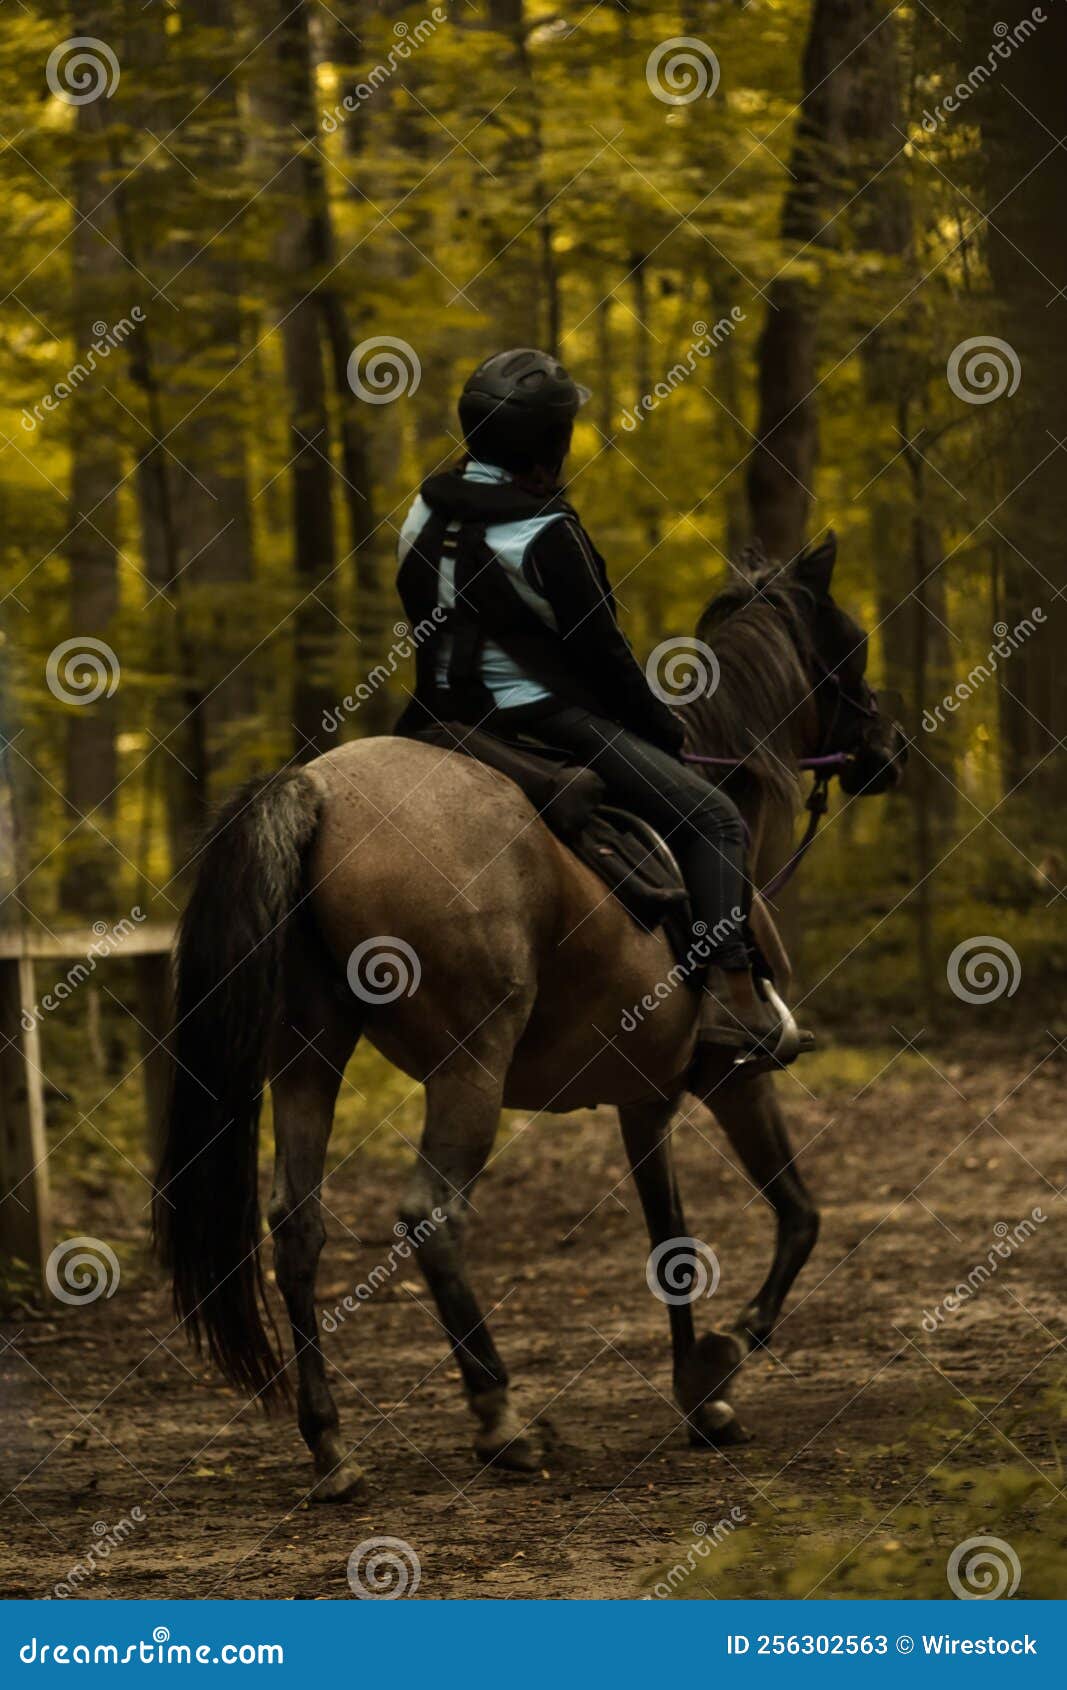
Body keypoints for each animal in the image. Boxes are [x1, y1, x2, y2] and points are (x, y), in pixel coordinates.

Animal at [154, 530, 906, 1502]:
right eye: (849, 643)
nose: (890, 747)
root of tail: (318, 792)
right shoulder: (732, 1079)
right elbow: (798, 1216)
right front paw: (727, 1351)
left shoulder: (642, 1101)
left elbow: (670, 1242)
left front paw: (698, 1395)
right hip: (468, 1065)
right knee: (430, 1215)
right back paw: (500, 1419)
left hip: (309, 1057)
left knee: (298, 1226)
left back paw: (331, 1446)